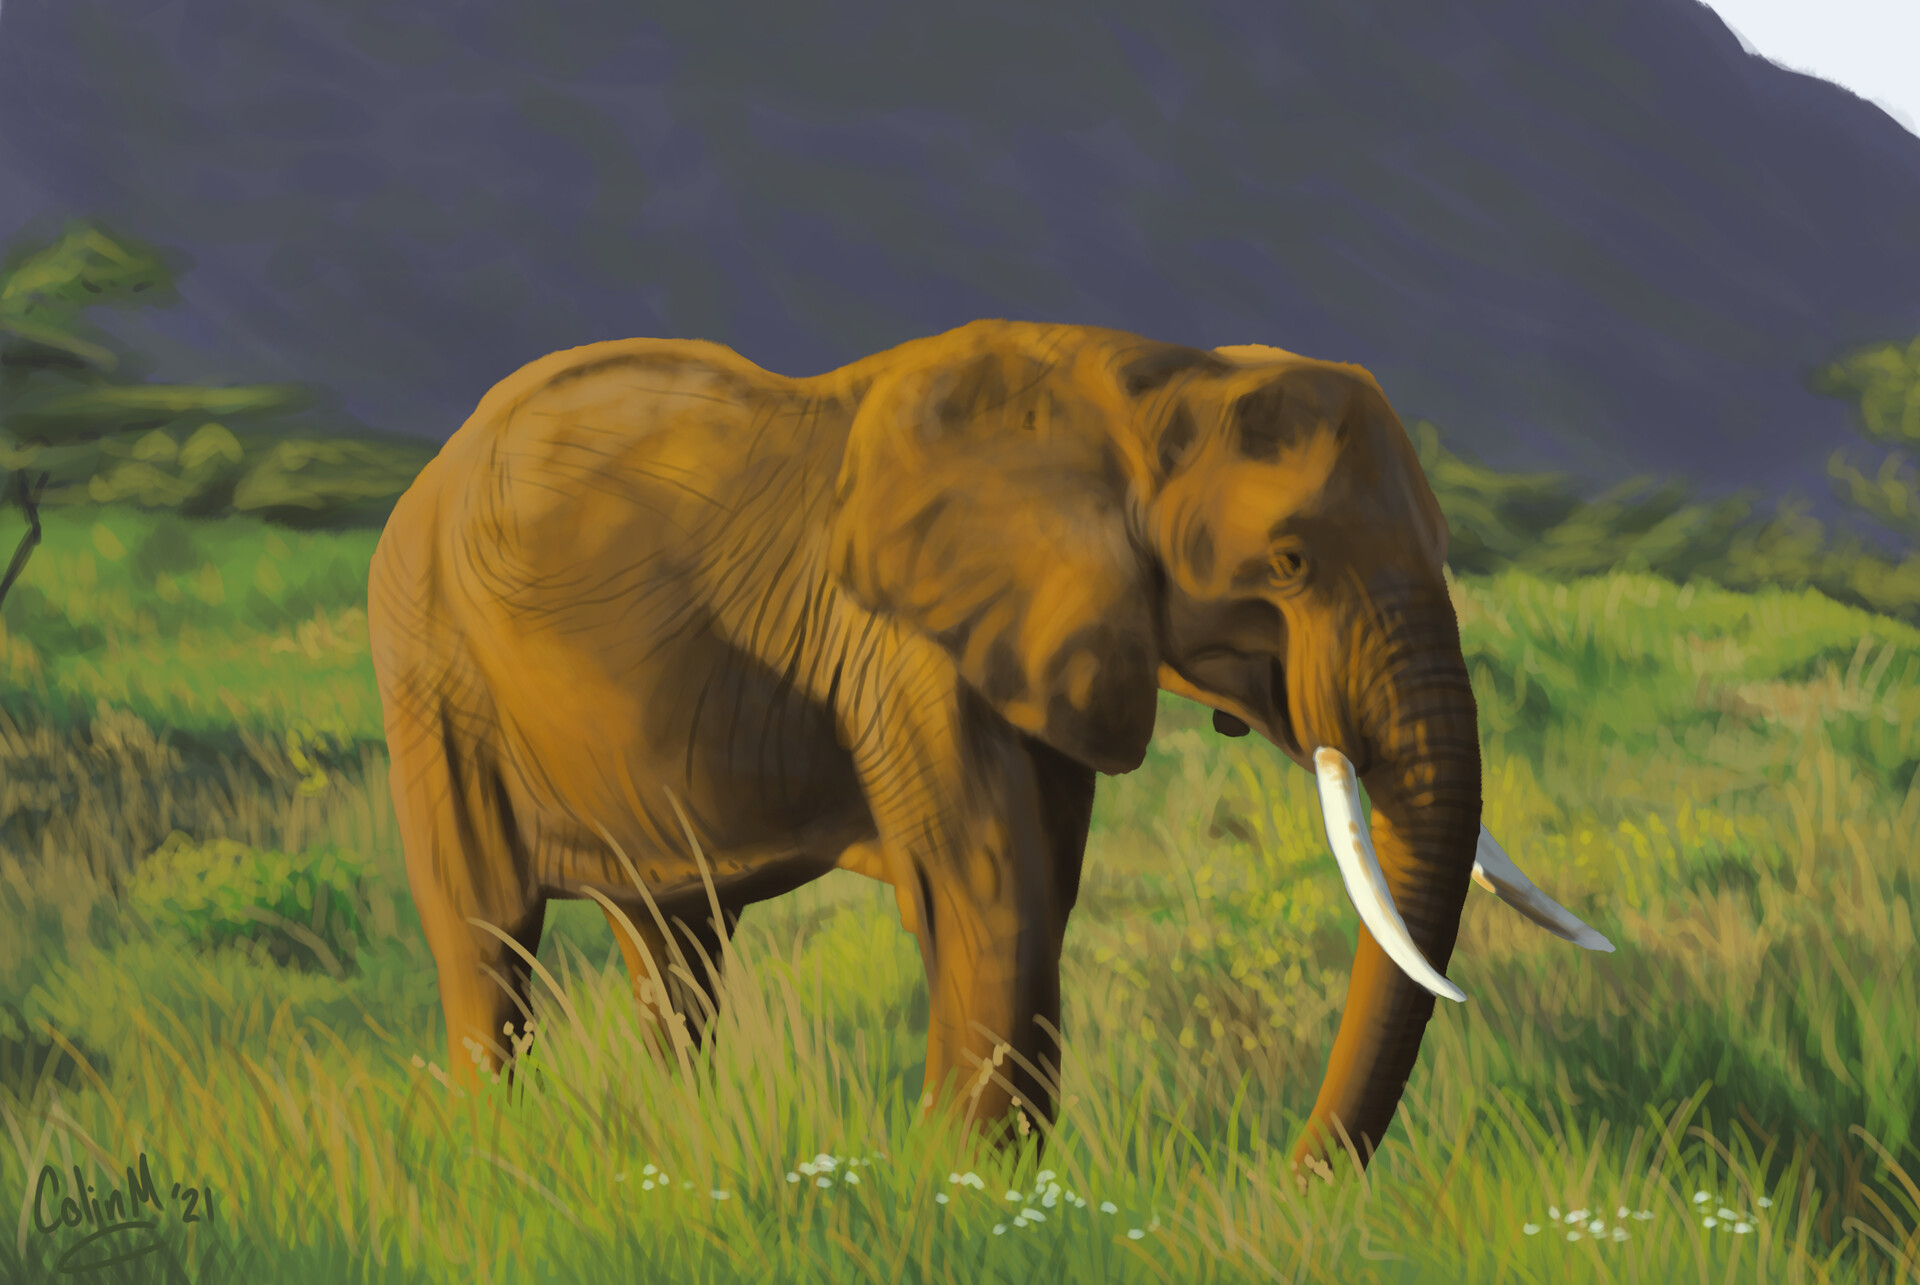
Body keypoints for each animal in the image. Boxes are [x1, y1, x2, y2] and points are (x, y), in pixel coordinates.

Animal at [367, 319, 1611, 1178]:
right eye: (1293, 564)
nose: (1290, 1182)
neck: (1151, 382)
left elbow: (1044, 890)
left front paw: (989, 1183)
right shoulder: (907, 642)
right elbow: (990, 890)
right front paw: (964, 1184)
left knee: (672, 945)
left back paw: (679, 1140)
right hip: (430, 663)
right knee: (487, 931)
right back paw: (491, 1143)